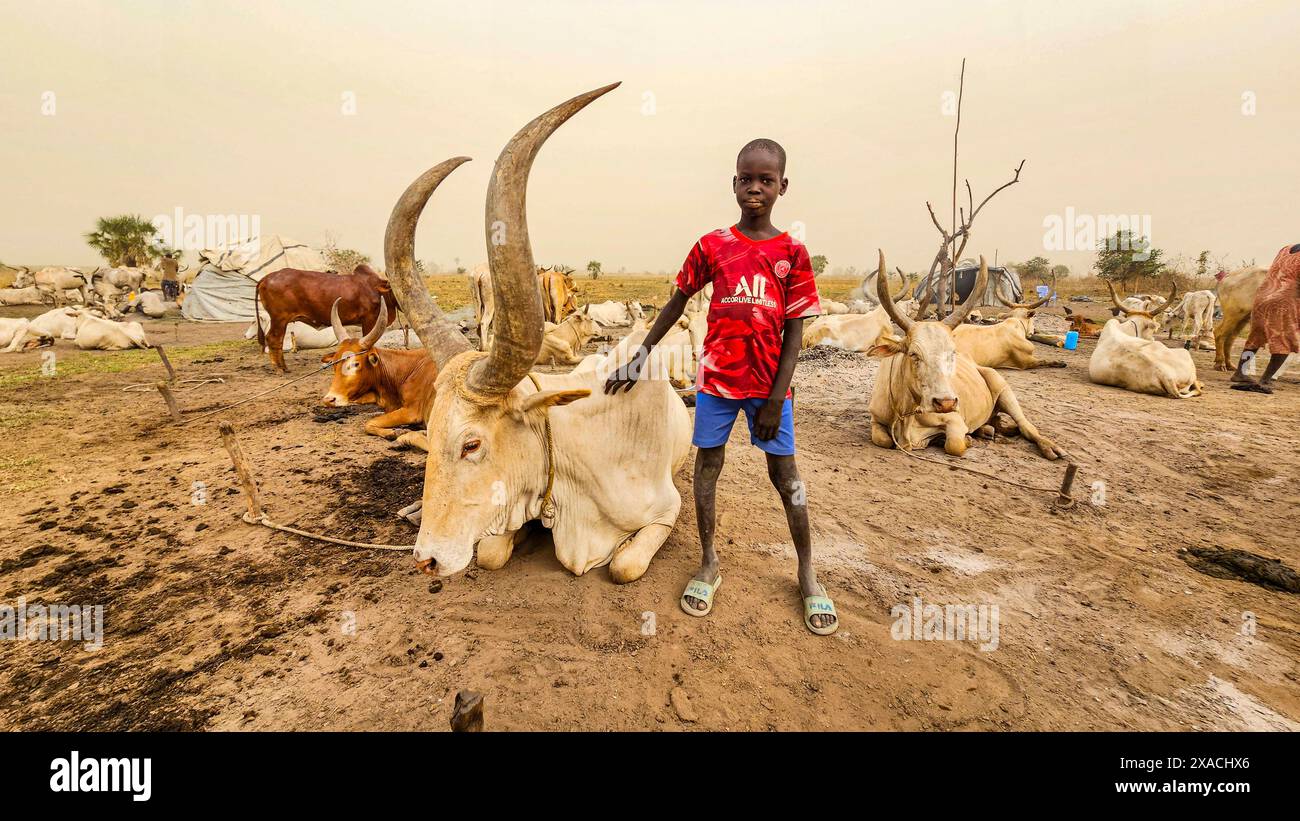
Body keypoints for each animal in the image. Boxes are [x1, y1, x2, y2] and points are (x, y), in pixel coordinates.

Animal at [254, 263, 399, 371]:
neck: (378, 290)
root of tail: (266, 278)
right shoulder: (369, 319)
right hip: (279, 319)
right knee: (274, 339)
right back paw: (281, 368)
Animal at [380, 83, 692, 582]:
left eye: (472, 444)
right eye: (433, 423)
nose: (427, 559)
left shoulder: (667, 511)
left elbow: (625, 564)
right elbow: (491, 551)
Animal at [866, 252, 1063, 460]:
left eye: (952, 352)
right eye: (913, 354)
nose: (946, 402)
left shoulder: (955, 420)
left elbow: (954, 445)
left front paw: (964, 439)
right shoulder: (875, 420)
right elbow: (884, 440)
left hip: (1003, 389)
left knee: (1026, 426)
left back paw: (1048, 446)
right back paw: (990, 430)